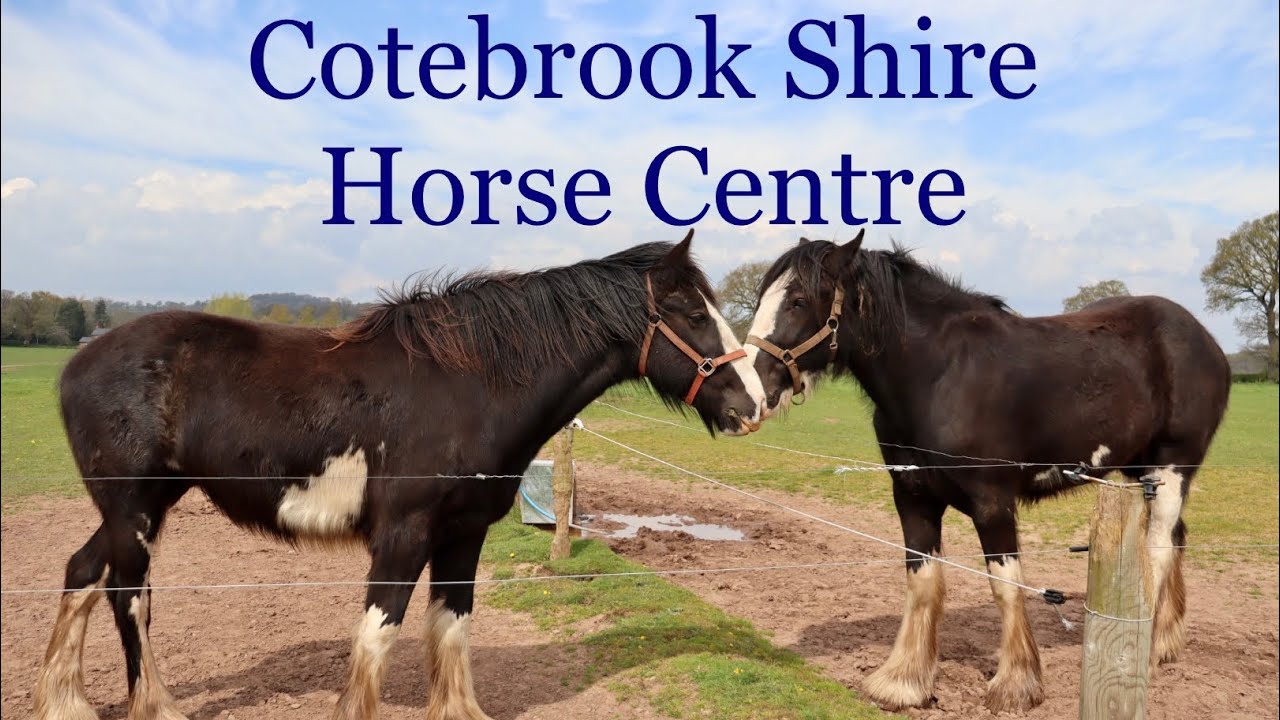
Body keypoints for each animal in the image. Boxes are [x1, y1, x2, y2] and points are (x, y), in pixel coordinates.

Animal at [35, 231, 768, 720]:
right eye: (693, 313)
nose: (755, 403)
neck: (471, 384)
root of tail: (77, 363)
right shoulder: (403, 536)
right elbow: (378, 636)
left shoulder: (463, 536)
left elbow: (451, 628)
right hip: (134, 510)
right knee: (129, 596)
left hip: (142, 506)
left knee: (82, 572)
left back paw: (64, 702)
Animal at [744, 231, 1230, 713]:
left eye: (799, 300)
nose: (752, 390)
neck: (939, 375)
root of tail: (1205, 339)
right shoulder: (912, 495)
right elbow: (922, 582)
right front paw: (905, 681)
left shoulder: (992, 502)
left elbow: (1005, 585)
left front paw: (1015, 685)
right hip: (1142, 471)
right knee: (1176, 537)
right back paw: (1164, 641)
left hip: (1173, 466)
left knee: (1158, 548)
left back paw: (1143, 653)